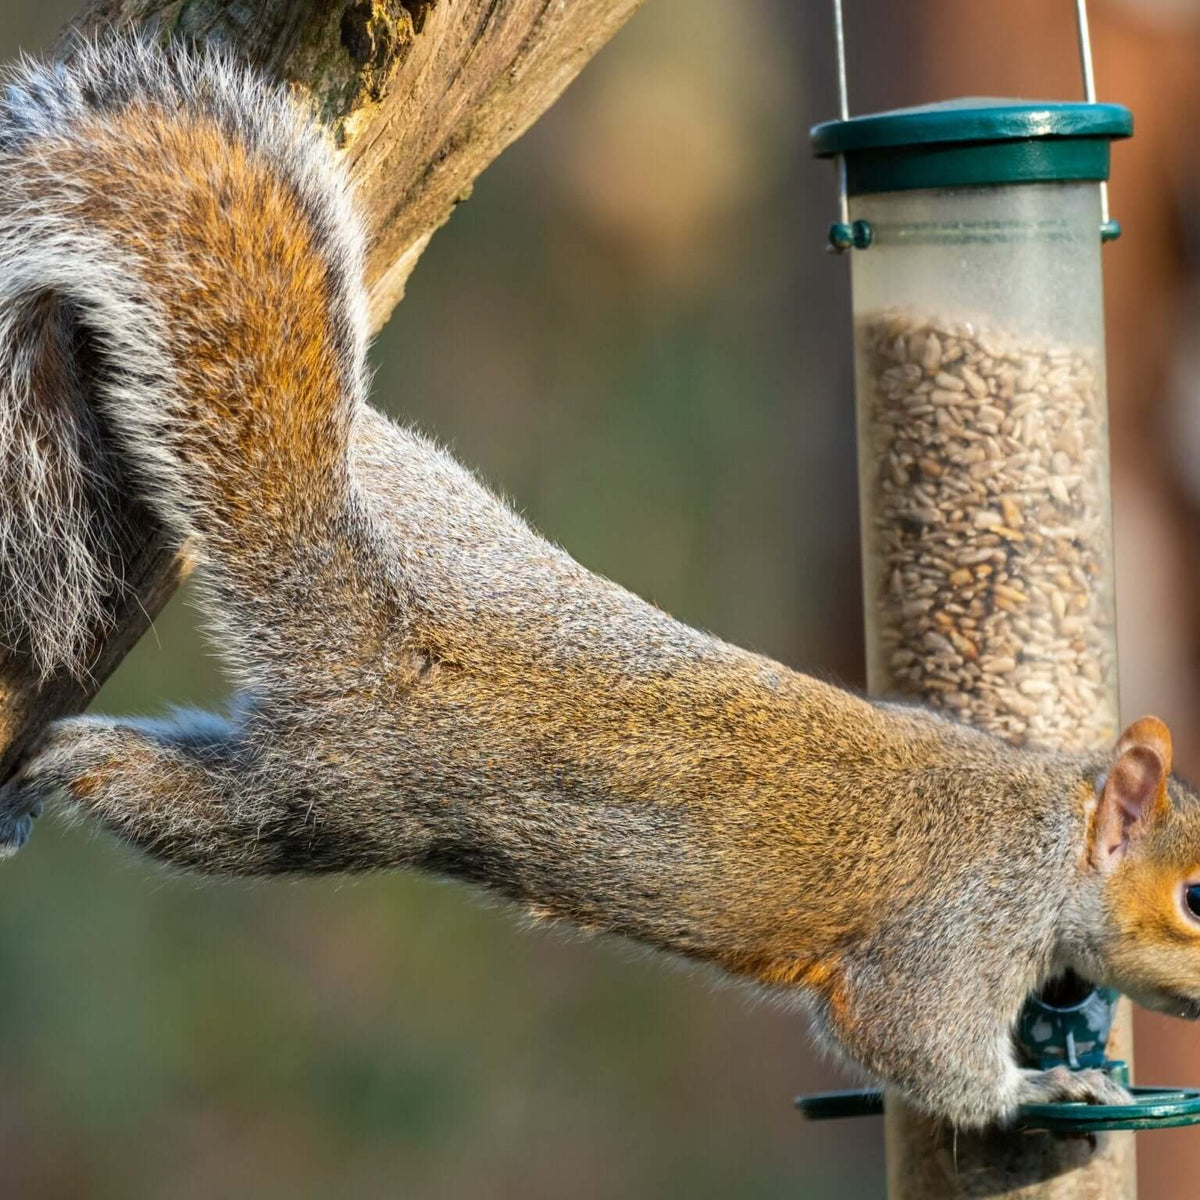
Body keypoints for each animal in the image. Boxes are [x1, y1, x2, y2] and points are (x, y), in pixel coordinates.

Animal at [0, 36, 1196, 1130]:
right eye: (1192, 898)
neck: (1044, 832)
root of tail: (382, 624)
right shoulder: (950, 939)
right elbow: (919, 1045)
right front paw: (1048, 1082)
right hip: (327, 796)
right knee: (185, 804)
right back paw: (60, 764)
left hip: (446, 539)